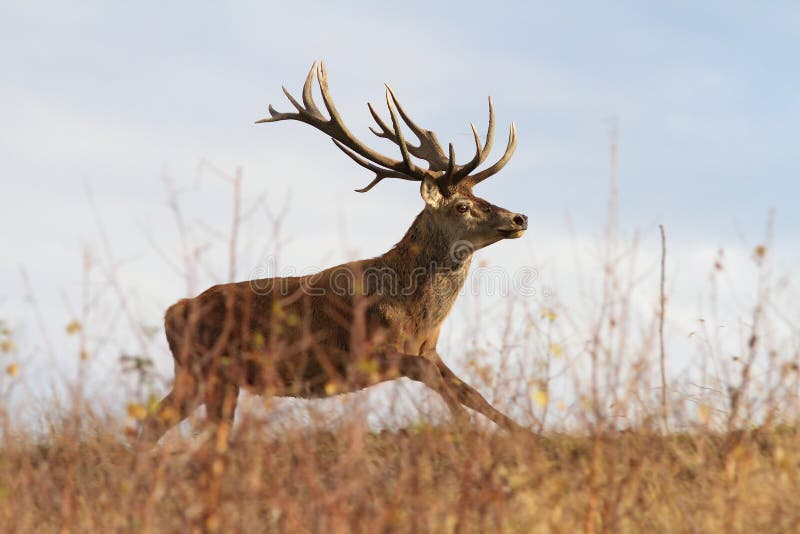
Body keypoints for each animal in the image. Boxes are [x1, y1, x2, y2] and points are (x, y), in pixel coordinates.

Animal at [139, 61, 530, 444]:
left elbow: (472, 392)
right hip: (213, 368)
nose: (519, 217)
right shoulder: (364, 352)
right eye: (462, 206)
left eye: (481, 196)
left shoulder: (429, 349)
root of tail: (173, 312)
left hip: (200, 376)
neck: (415, 316)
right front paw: (464, 427)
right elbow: (432, 378)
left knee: (153, 426)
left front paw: (526, 434)